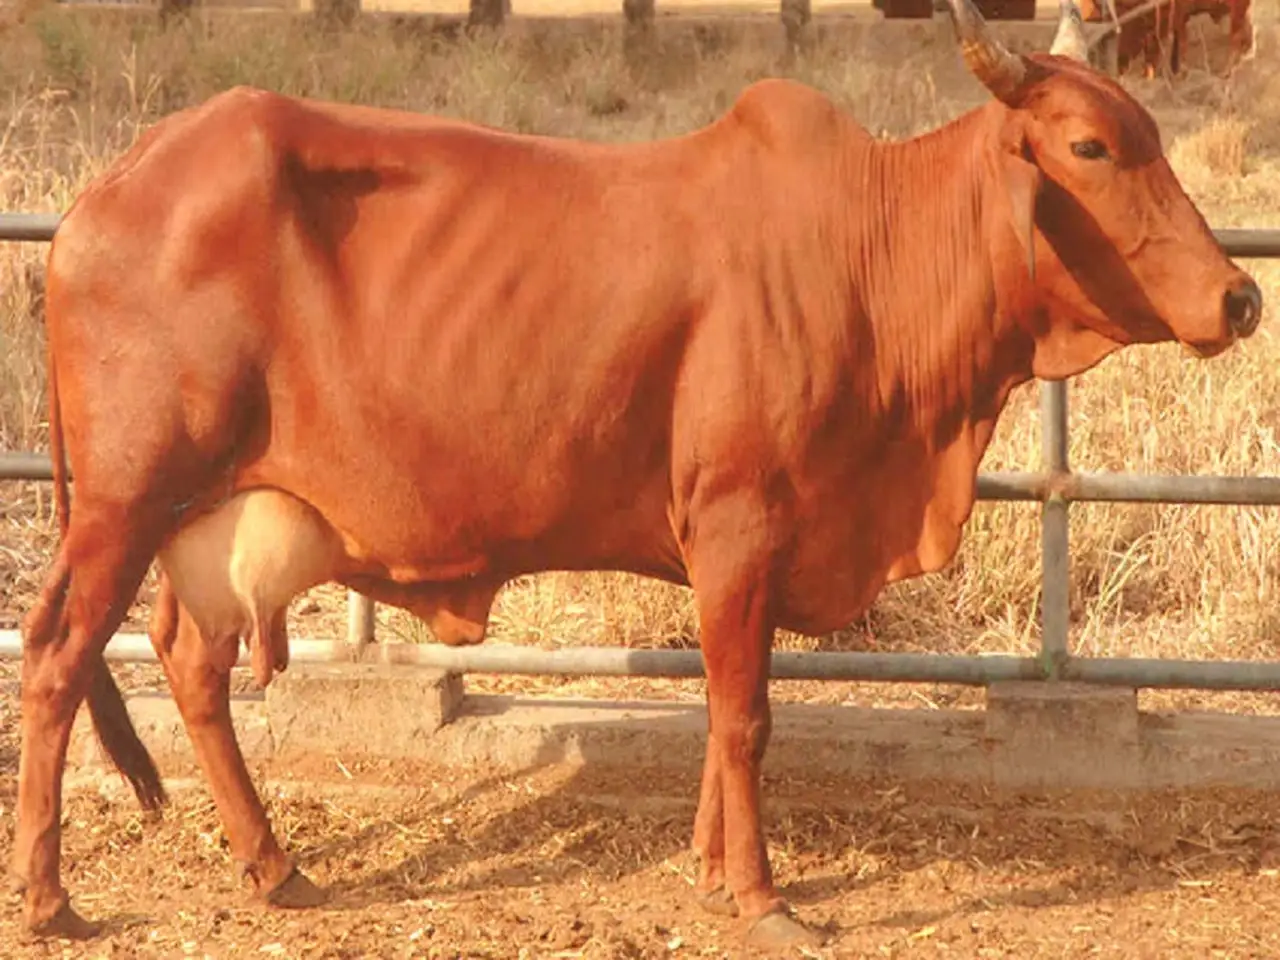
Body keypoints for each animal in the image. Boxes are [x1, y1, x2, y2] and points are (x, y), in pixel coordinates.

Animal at [11, 0, 1262, 947]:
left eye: (1151, 132)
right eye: (1088, 147)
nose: (1238, 296)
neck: (871, 255)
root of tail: (107, 191)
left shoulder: (750, 544)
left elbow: (722, 706)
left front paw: (710, 869)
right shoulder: (740, 522)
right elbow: (745, 715)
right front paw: (760, 896)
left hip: (206, 515)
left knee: (190, 662)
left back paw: (274, 866)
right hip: (124, 505)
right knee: (59, 660)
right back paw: (51, 895)